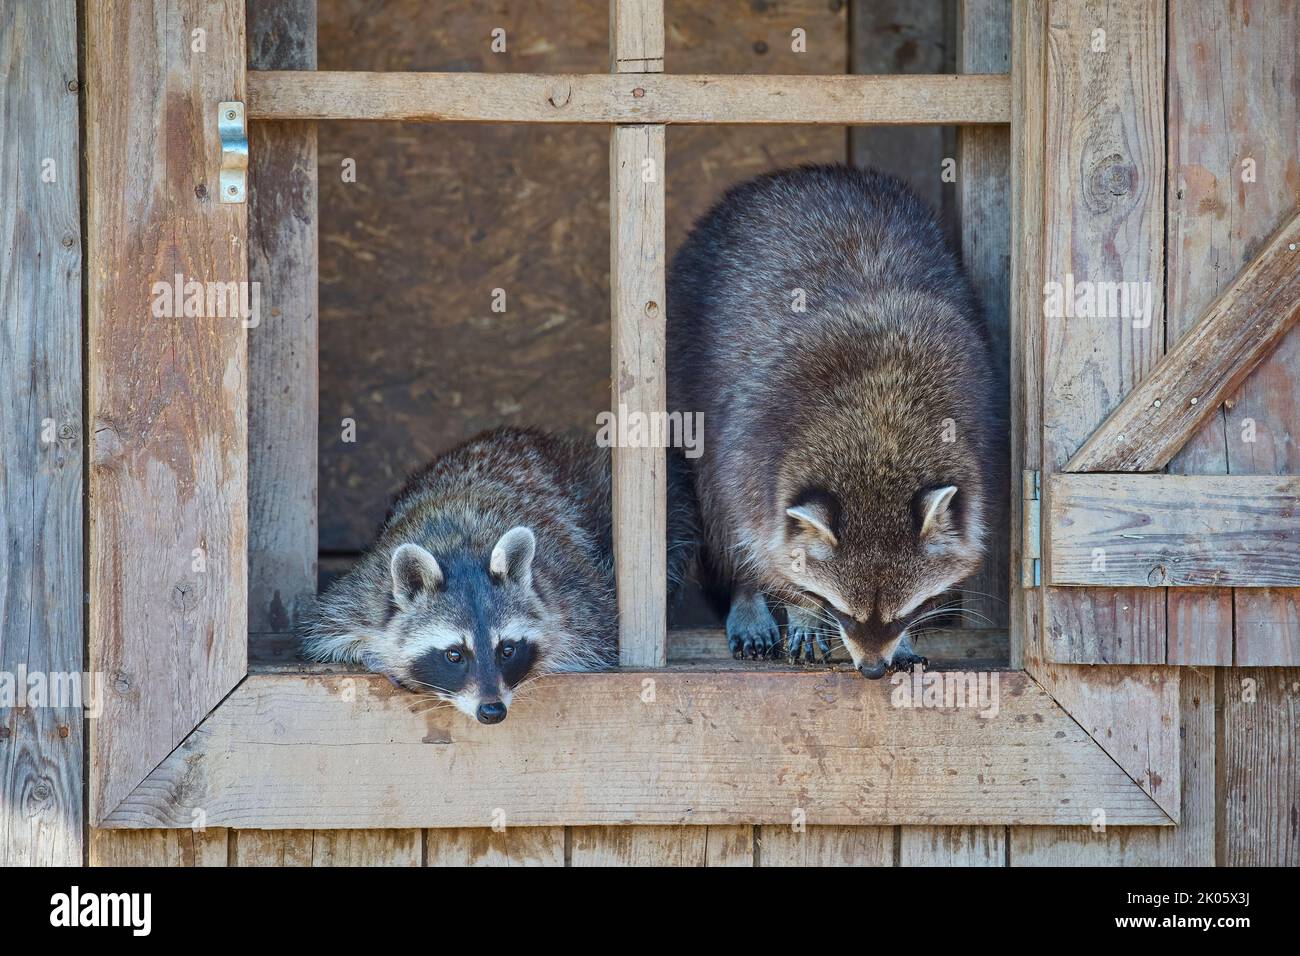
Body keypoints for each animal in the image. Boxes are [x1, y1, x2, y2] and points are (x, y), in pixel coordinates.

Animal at [303, 426, 695, 722]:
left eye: (507, 649)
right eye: (454, 654)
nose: (491, 711)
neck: (462, 547)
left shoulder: (576, 595)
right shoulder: (364, 590)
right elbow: (330, 632)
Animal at [667, 165, 999, 679]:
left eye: (903, 613)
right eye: (843, 611)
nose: (873, 669)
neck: (882, 425)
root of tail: (795, 175)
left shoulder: (972, 413)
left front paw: (903, 642)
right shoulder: (753, 445)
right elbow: (759, 536)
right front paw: (798, 606)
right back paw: (746, 594)